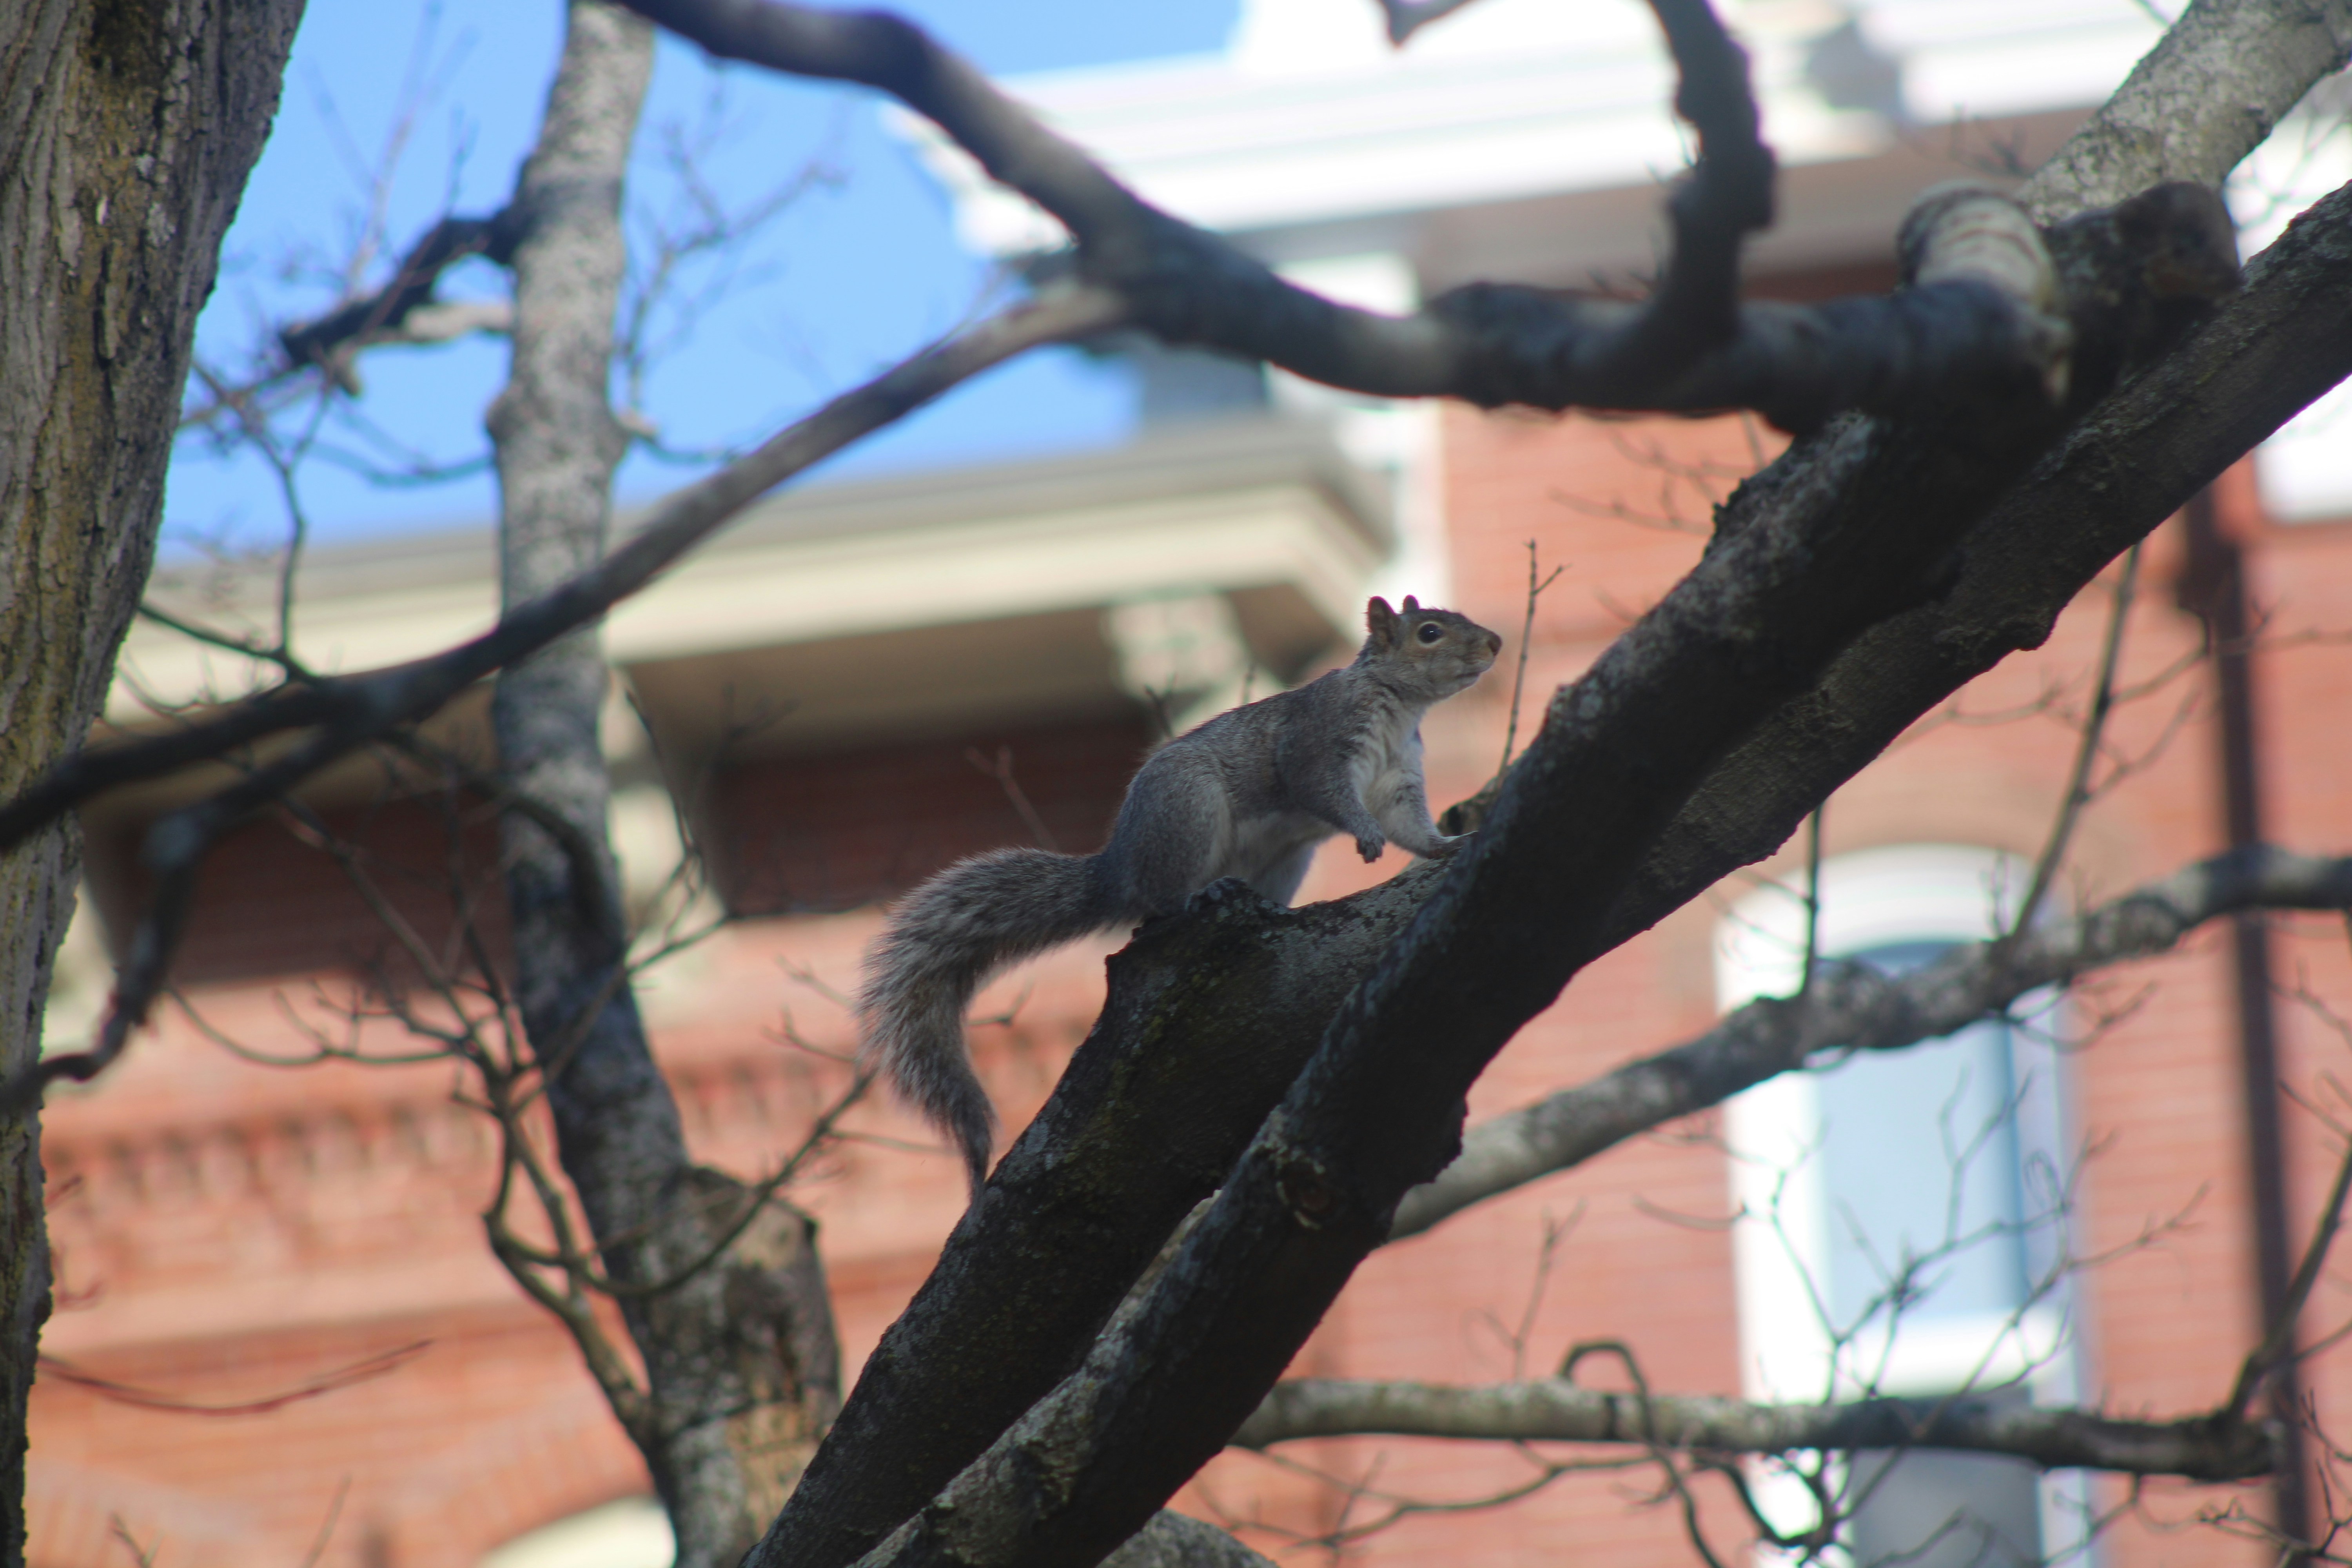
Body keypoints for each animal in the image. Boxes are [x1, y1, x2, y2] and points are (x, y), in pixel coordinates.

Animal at [857, 594, 1503, 1200]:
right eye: (1429, 633)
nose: (1494, 643)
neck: (1397, 704)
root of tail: (1118, 869)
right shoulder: (1319, 743)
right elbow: (1327, 793)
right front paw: (1367, 836)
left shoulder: (1398, 780)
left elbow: (1410, 828)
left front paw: (1449, 845)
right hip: (1189, 812)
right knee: (1160, 902)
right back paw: (1200, 895)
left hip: (1284, 859)